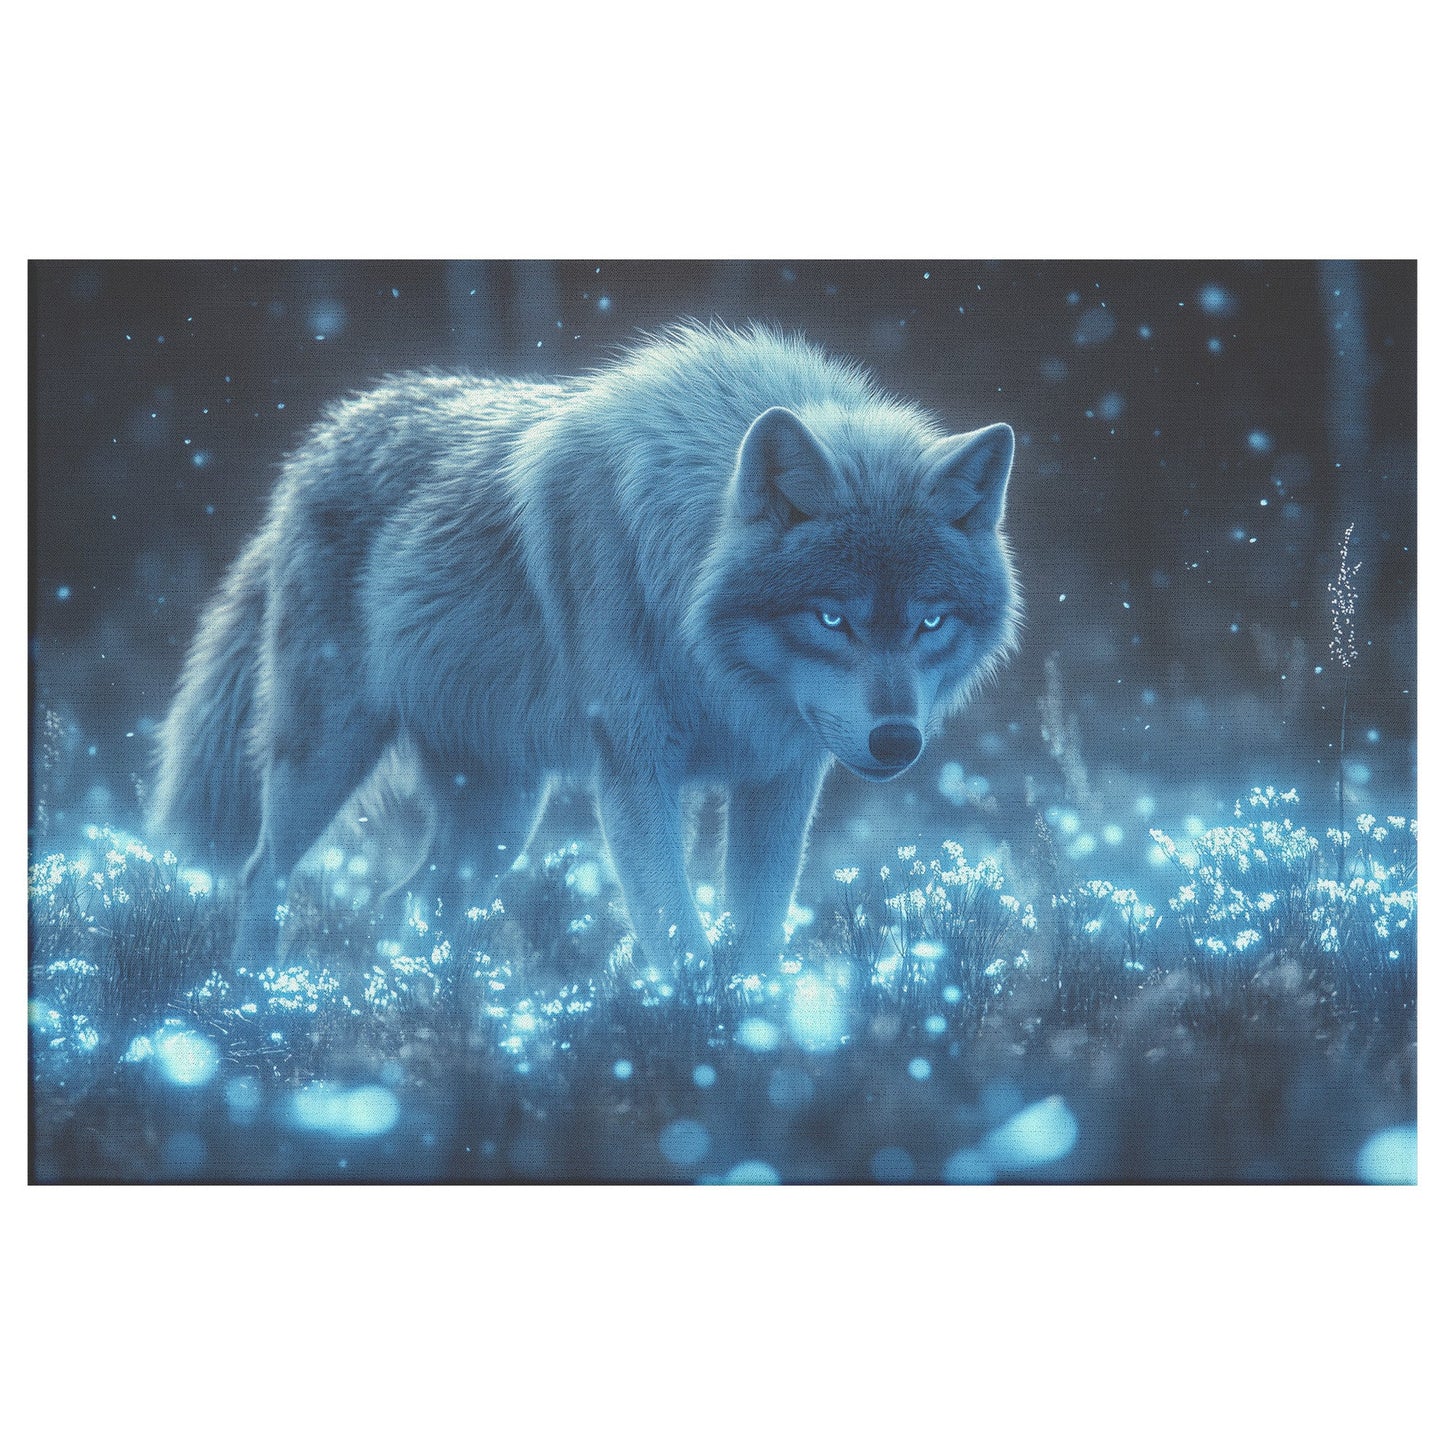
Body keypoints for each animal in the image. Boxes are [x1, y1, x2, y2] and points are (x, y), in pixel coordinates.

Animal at [150, 323, 1020, 970]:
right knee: (263, 875)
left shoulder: (780, 777)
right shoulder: (635, 773)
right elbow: (680, 942)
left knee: (409, 903)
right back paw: (258, 999)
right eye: (833, 619)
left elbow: (755, 944)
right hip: (328, 759)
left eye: (930, 623)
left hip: (503, 811)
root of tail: (323, 436)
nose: (896, 741)